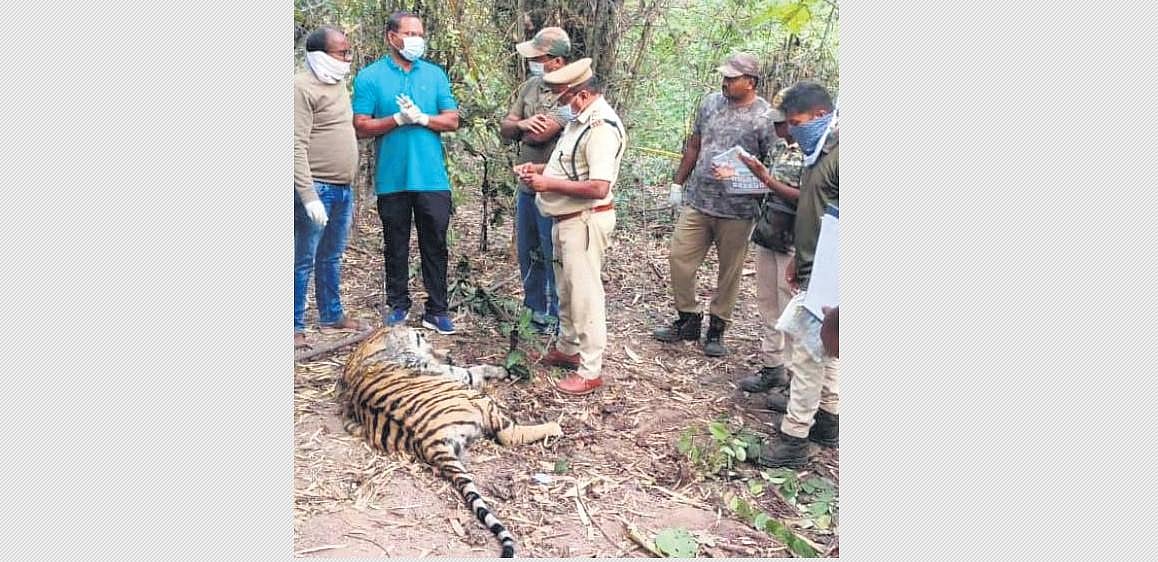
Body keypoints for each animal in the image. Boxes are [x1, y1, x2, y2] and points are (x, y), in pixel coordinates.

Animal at [337, 324, 562, 558]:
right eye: (420, 336)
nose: (447, 355)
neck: (373, 344)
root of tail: (428, 440)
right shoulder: (446, 371)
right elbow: (473, 370)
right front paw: (503, 370)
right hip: (478, 400)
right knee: (509, 435)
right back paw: (554, 426)